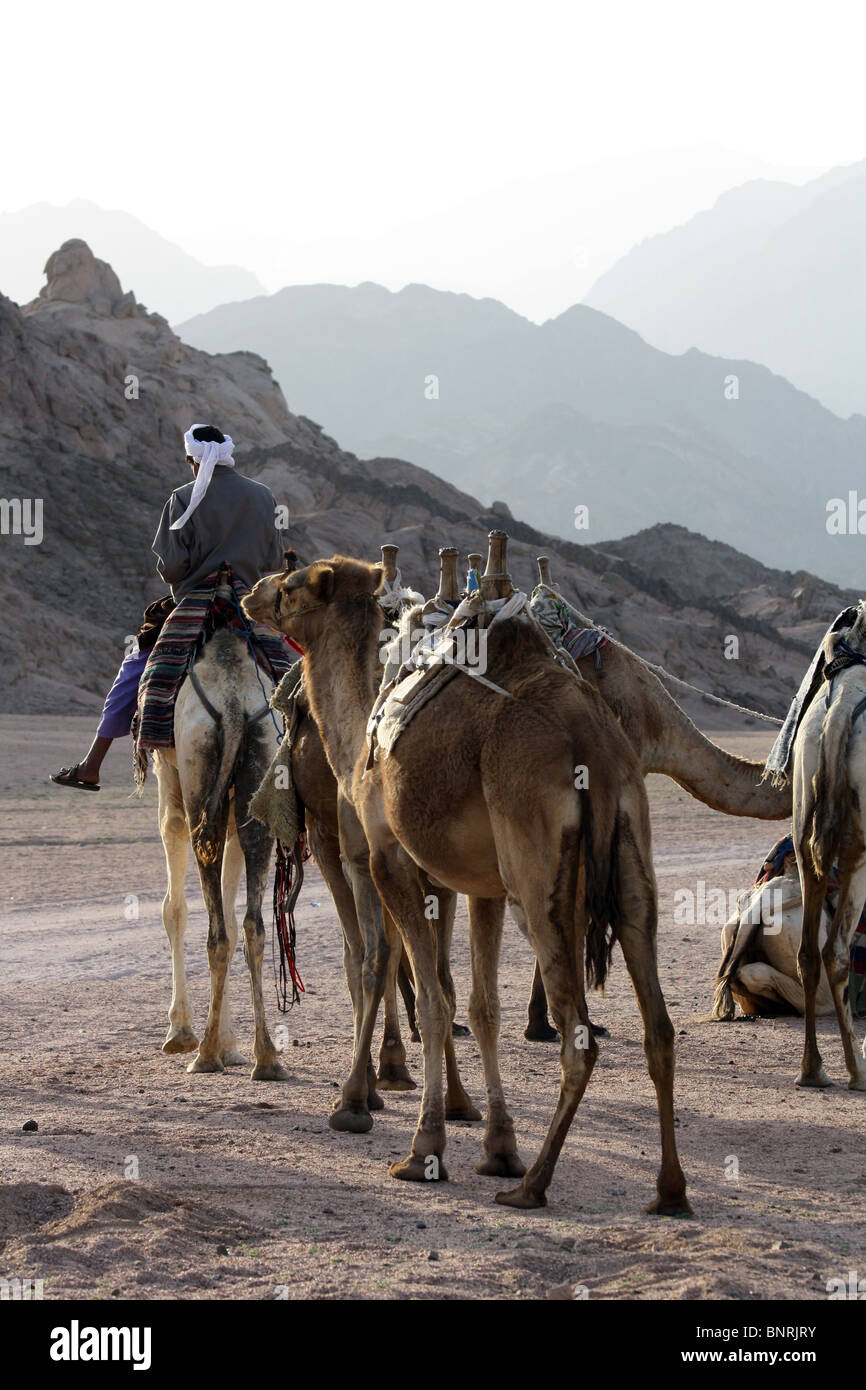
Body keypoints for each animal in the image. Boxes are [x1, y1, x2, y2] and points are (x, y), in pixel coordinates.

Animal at [153, 574, 288, 1081]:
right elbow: (231, 914)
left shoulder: (173, 796)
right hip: (261, 763)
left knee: (215, 930)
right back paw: (266, 1056)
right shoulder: (231, 814)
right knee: (250, 926)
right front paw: (233, 1044)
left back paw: (204, 1052)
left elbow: (174, 909)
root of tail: (231, 702)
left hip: (197, 782)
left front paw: (181, 1032)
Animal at [244, 533, 691, 1213]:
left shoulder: (388, 858)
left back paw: (535, 1184)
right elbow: (479, 1006)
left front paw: (417, 1143)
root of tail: (592, 746)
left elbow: (427, 997)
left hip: (538, 880)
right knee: (658, 1029)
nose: (252, 592)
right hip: (630, 857)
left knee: (579, 1036)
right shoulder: (482, 886)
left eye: (293, 585)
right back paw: (668, 1191)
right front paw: (496, 1145)